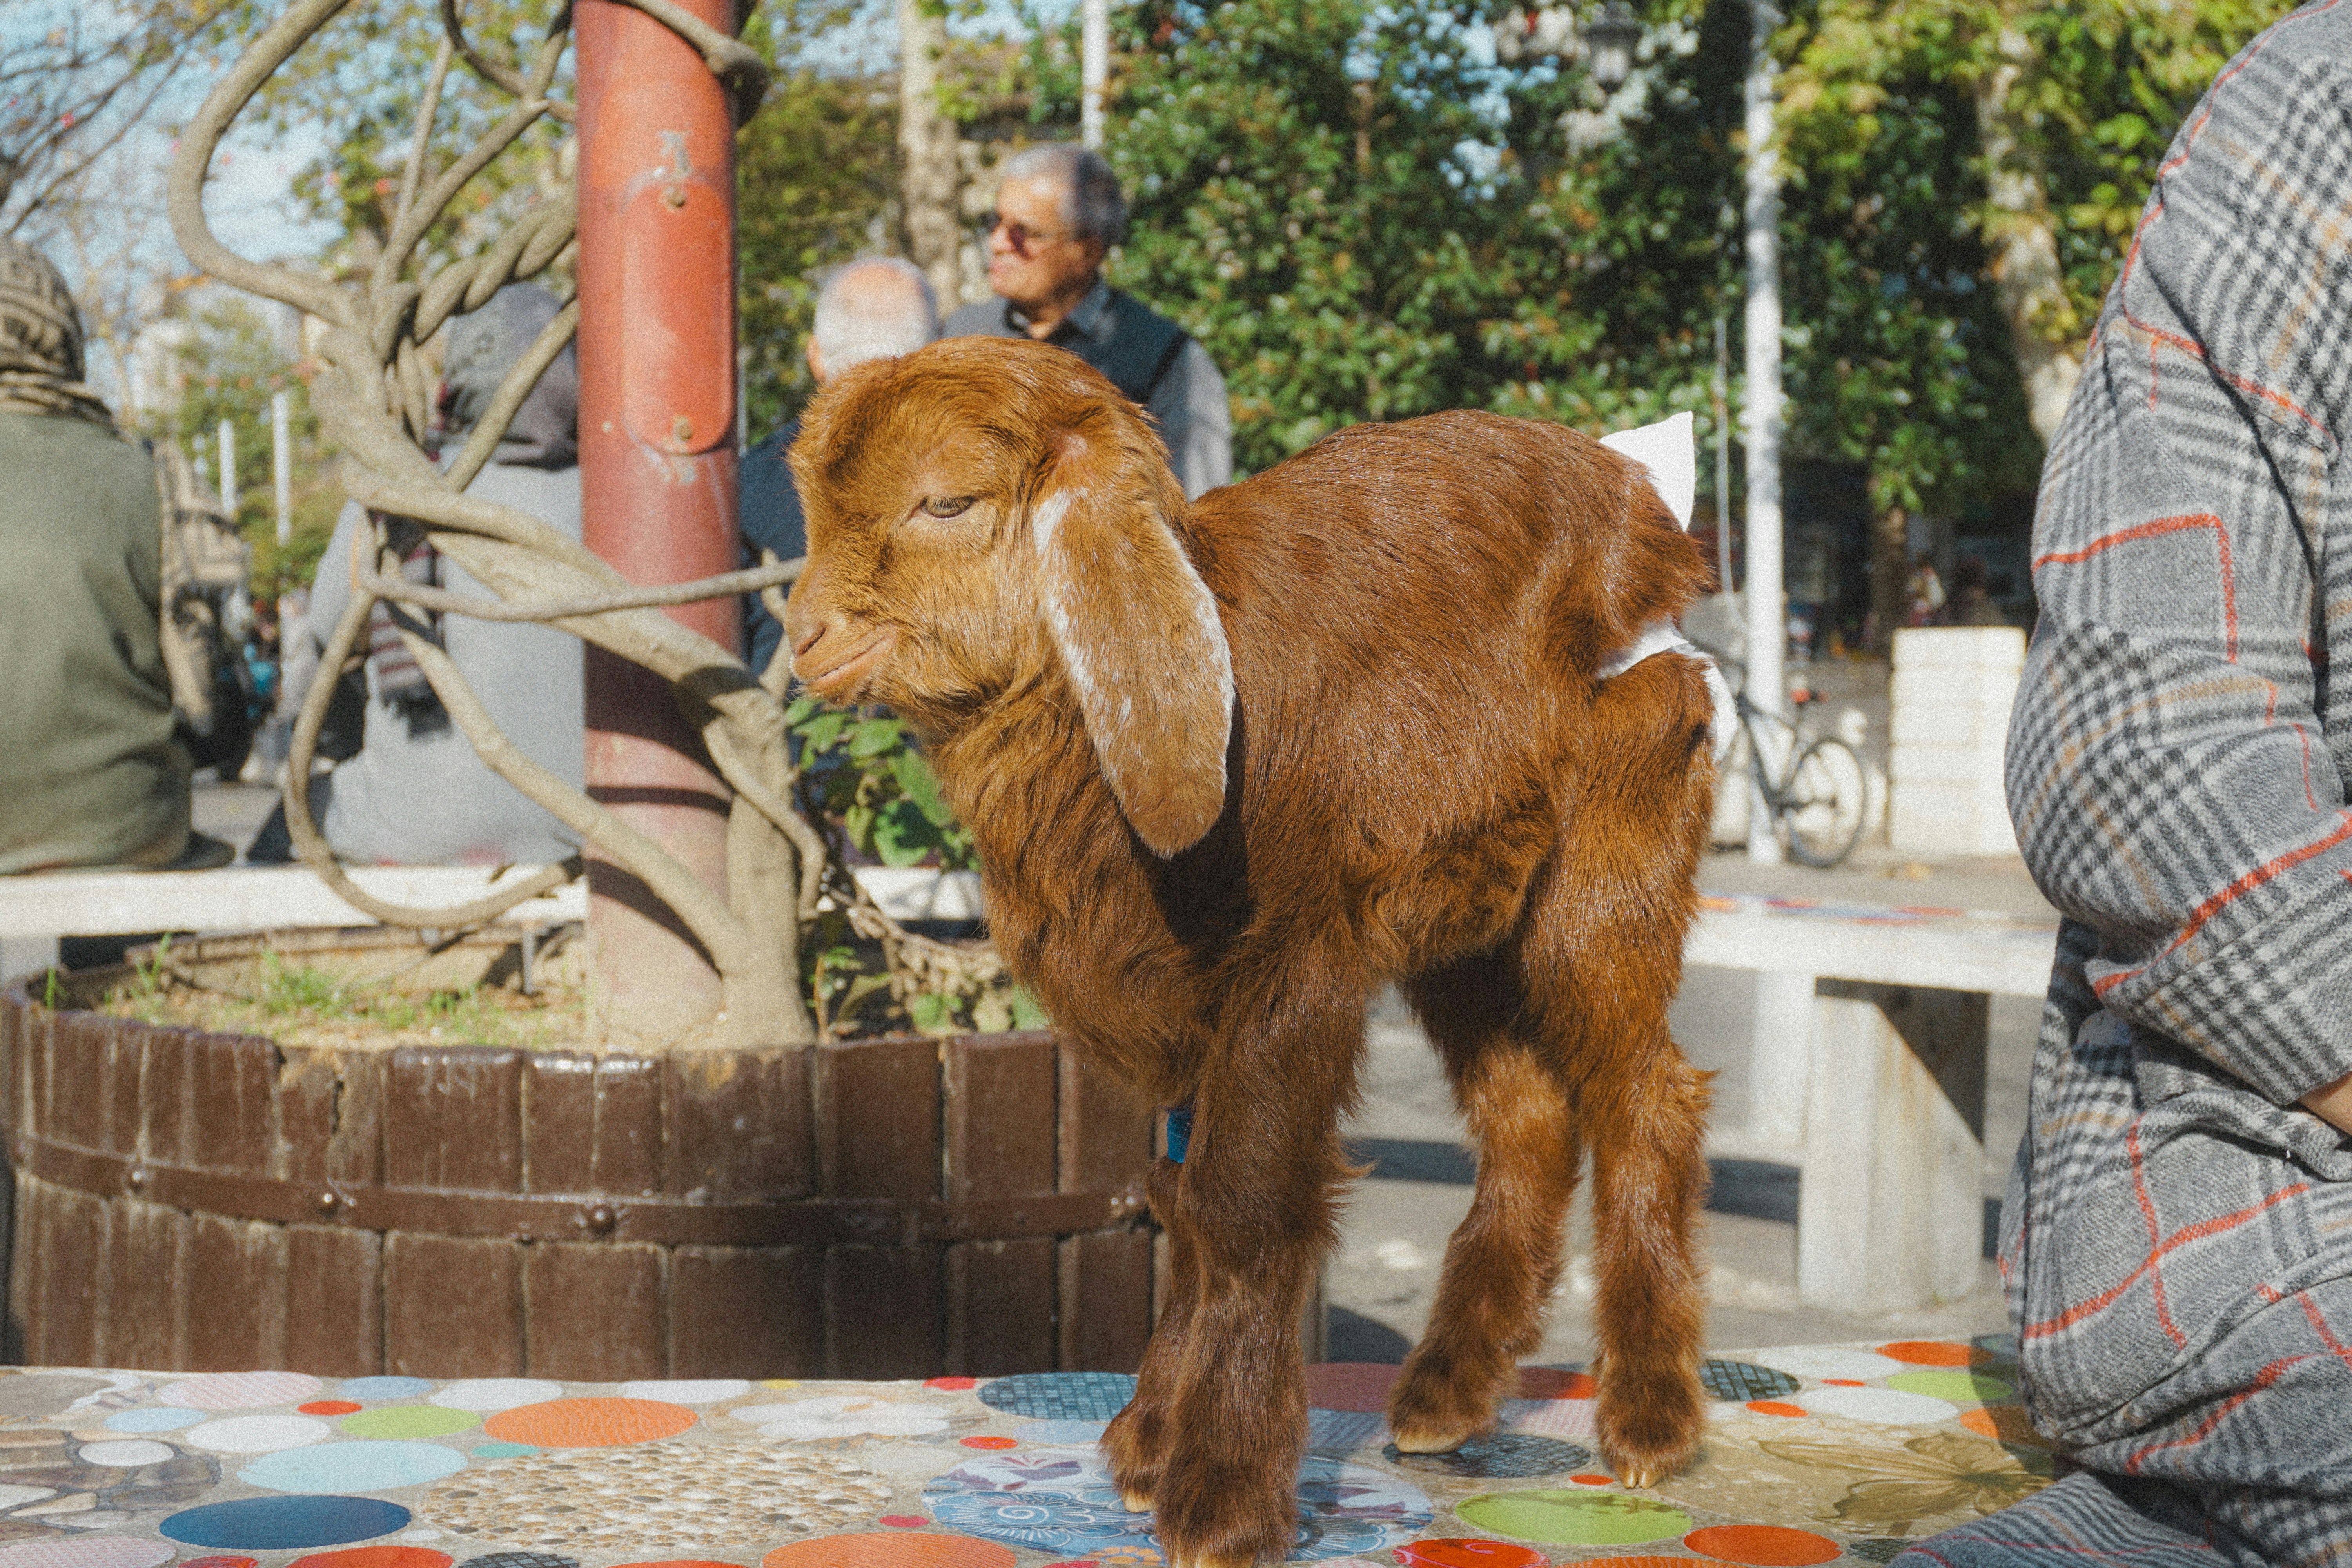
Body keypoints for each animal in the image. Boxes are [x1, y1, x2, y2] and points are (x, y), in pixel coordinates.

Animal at [784, 336, 1716, 1568]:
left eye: (948, 501)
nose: (805, 636)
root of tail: (1647, 513)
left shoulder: (1295, 965)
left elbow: (1242, 1199)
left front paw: (1220, 1494)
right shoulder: (1186, 1008)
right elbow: (1179, 1196)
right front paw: (1145, 1443)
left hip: (1609, 858)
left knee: (1643, 1090)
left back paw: (1650, 1417)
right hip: (1464, 925)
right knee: (1528, 1117)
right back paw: (1446, 1395)